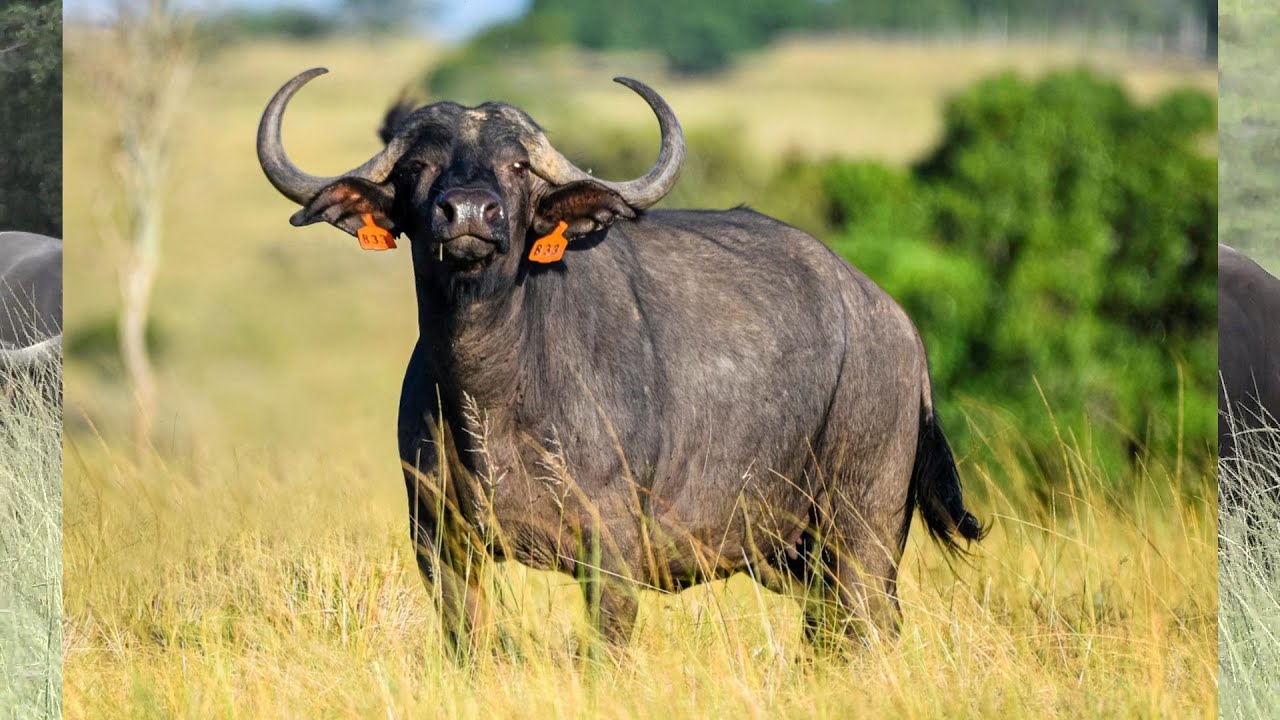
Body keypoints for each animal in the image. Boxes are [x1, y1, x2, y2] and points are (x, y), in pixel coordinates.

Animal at [256, 69, 984, 656]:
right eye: (417, 168)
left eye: (518, 168)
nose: (468, 213)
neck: (490, 394)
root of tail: (898, 326)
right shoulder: (442, 544)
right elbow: (467, 642)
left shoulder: (611, 551)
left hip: (861, 534)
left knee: (866, 625)